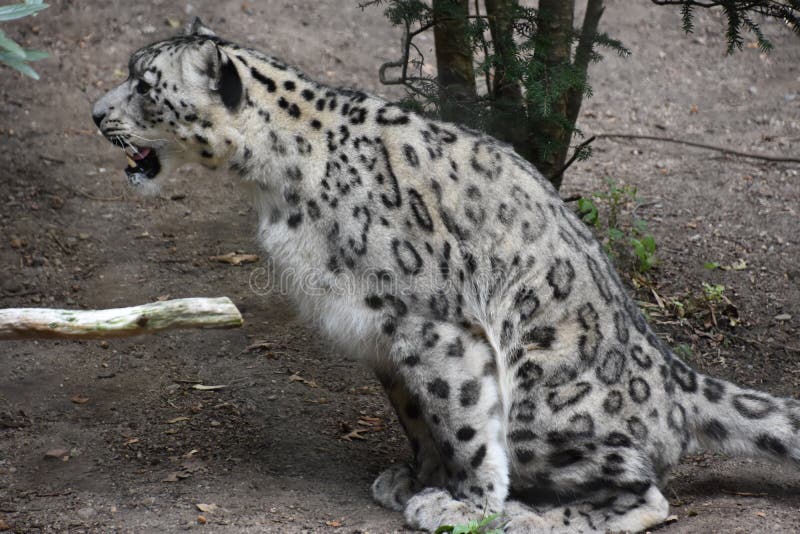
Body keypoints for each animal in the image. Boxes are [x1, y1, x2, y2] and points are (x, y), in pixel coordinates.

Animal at [91, 18, 800, 533]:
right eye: (129, 75)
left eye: (145, 85)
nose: (97, 114)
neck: (273, 189)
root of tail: (678, 378)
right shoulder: (380, 334)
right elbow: (417, 413)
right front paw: (418, 477)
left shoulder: (434, 326)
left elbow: (463, 422)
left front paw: (467, 504)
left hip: (537, 406)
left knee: (647, 493)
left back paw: (533, 517)